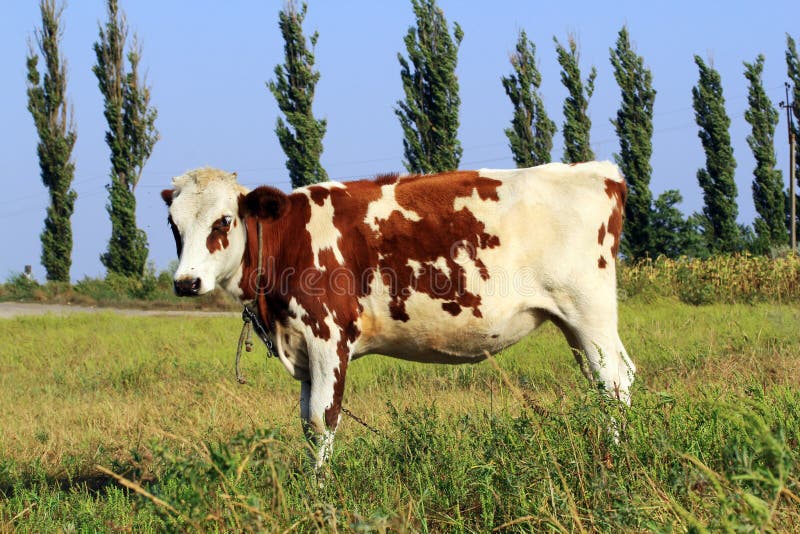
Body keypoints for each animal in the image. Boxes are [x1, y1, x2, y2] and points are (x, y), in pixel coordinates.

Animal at [161, 162, 635, 468]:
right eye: (173, 224)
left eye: (224, 221)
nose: (186, 282)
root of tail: (597, 170)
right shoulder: (303, 346)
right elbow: (306, 422)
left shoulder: (328, 336)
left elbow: (322, 418)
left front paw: (320, 492)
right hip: (573, 322)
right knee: (612, 380)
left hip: (589, 312)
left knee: (612, 384)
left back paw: (618, 458)